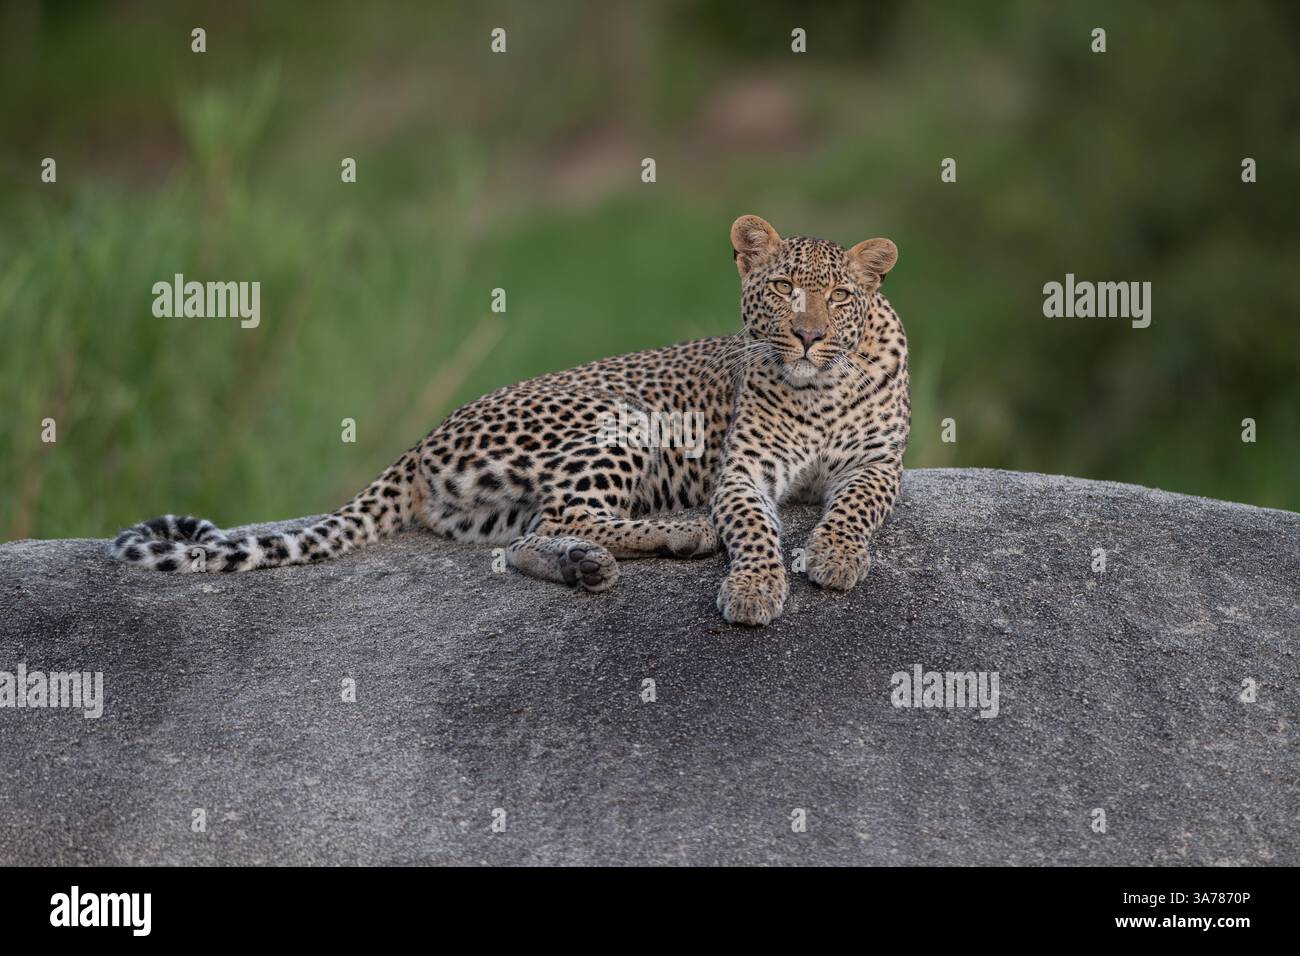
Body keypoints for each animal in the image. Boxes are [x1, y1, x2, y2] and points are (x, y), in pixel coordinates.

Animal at [110, 214, 909, 627]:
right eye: (781, 289)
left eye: (839, 297)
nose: (806, 335)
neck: (819, 388)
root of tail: (422, 440)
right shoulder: (742, 472)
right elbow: (749, 526)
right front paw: (753, 586)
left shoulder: (879, 462)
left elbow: (856, 506)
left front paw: (834, 557)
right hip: (615, 419)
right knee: (570, 514)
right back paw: (679, 533)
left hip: (497, 507)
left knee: (531, 537)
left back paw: (588, 566)